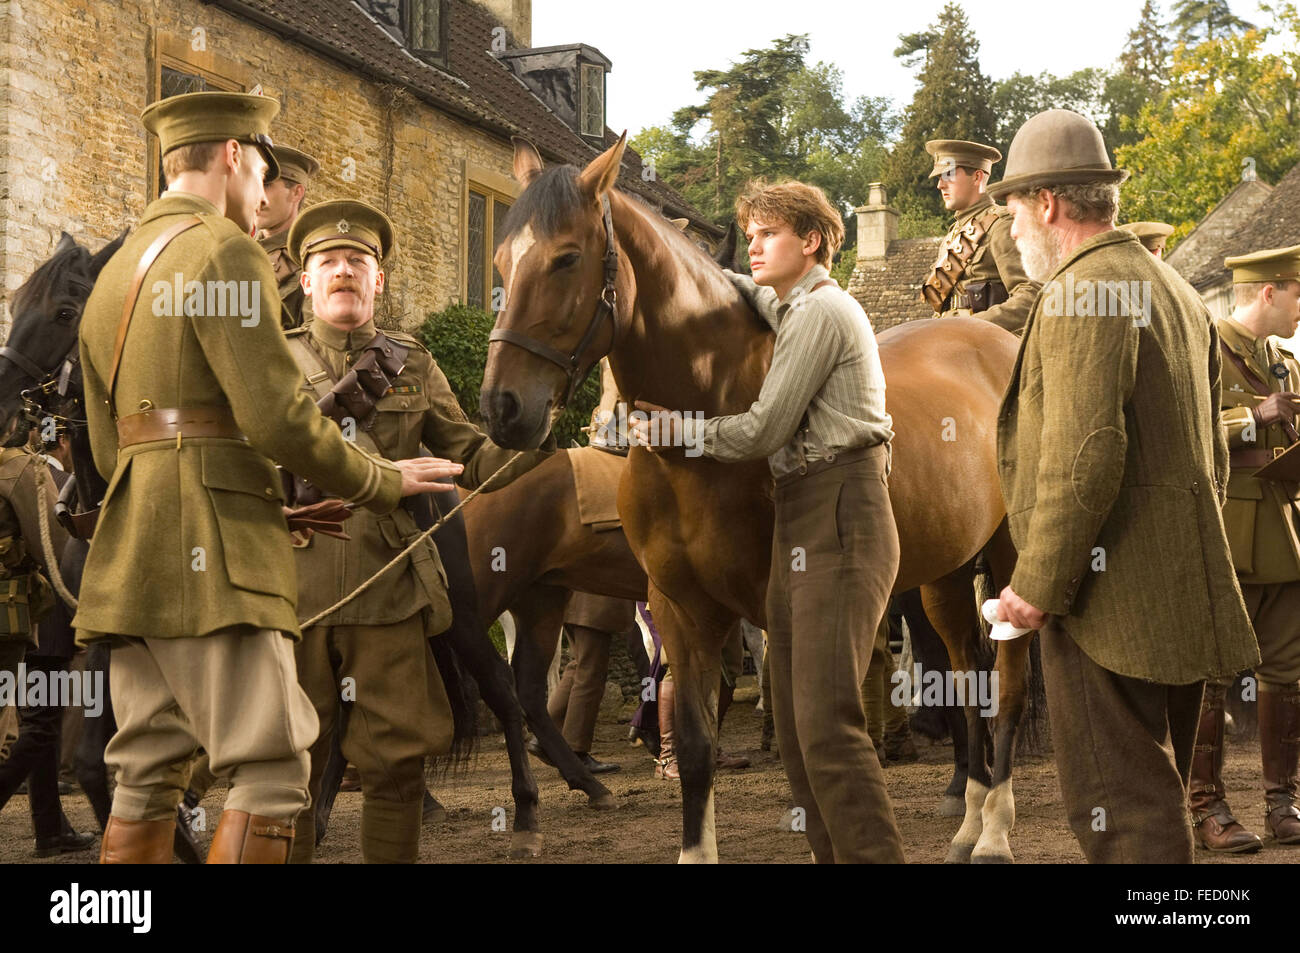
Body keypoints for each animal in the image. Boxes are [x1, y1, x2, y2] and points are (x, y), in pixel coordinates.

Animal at [480, 134, 1033, 863]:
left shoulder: (780, 607)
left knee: (1008, 683)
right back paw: (968, 819)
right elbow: (695, 748)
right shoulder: (680, 608)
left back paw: (994, 828)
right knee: (969, 674)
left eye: (567, 257)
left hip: (1006, 557)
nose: (503, 407)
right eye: (499, 262)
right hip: (943, 573)